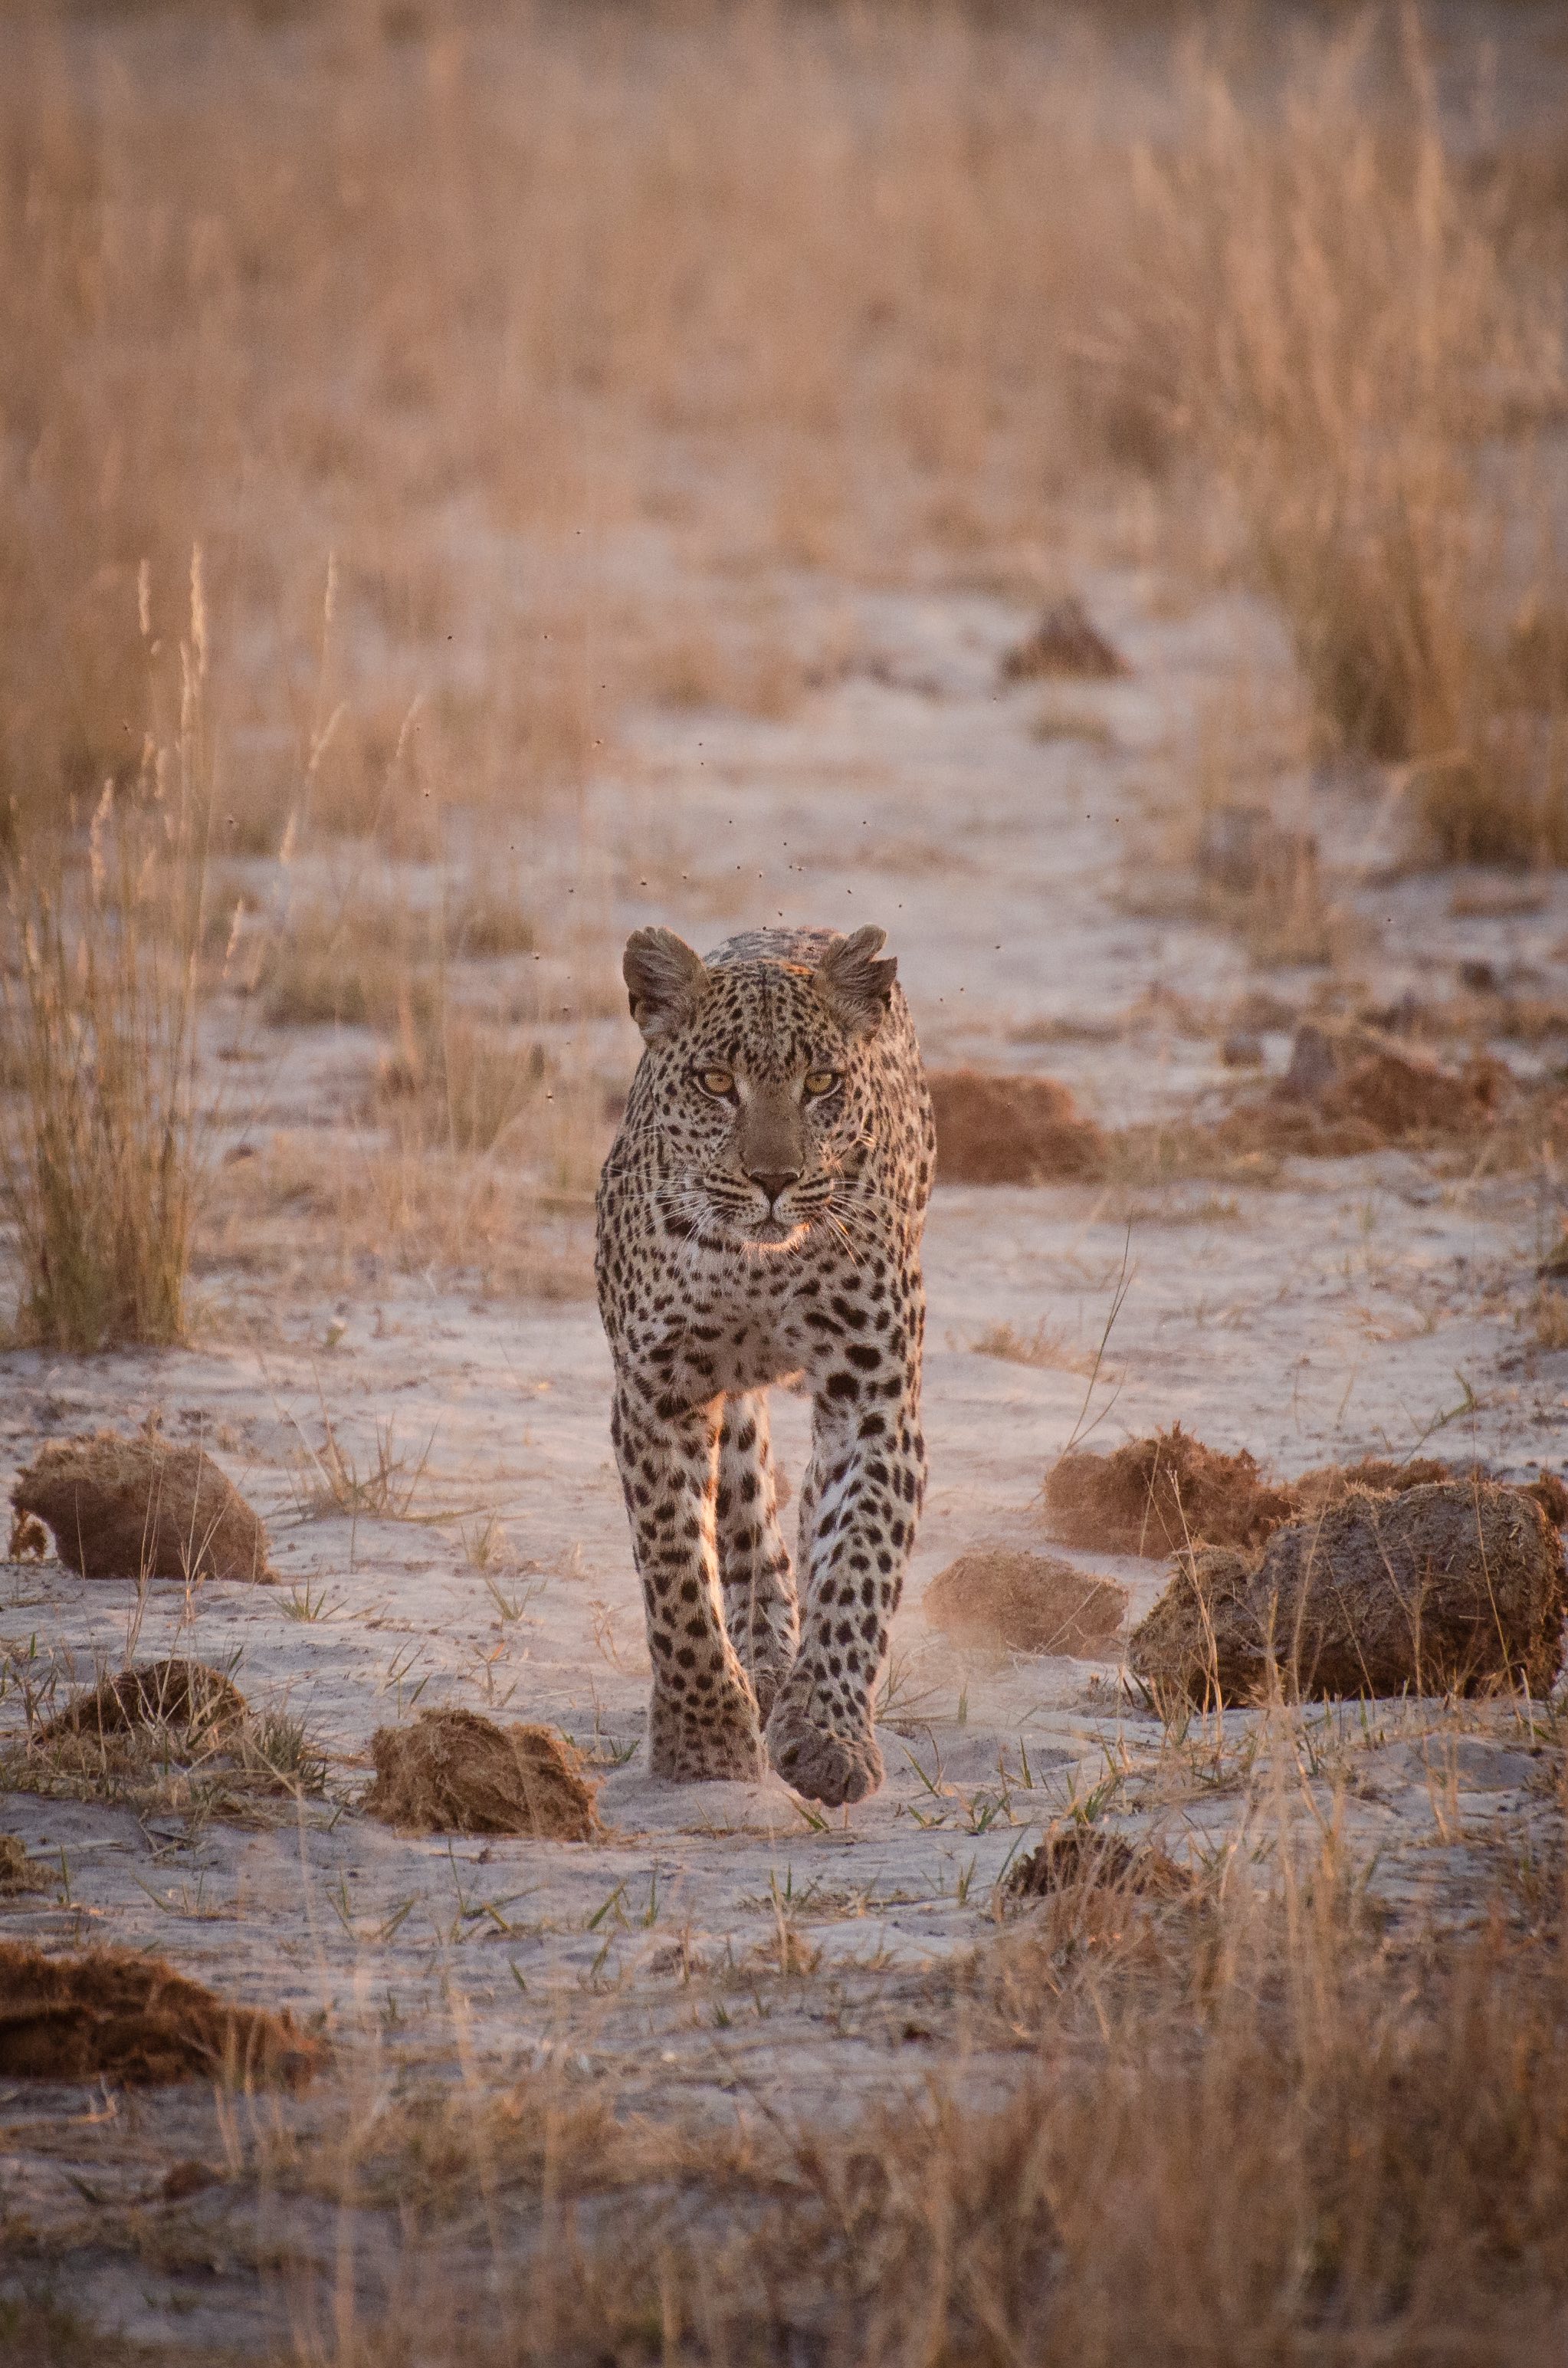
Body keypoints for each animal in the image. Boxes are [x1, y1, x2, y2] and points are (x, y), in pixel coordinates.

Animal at [594, 922, 935, 1807]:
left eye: (821, 1083)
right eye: (717, 1083)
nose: (774, 1179)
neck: (760, 1268)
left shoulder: (874, 1401)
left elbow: (859, 1563)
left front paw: (826, 1736)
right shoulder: (659, 1392)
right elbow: (678, 1569)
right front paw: (704, 1740)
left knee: (809, 1518)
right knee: (746, 1513)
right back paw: (766, 1656)